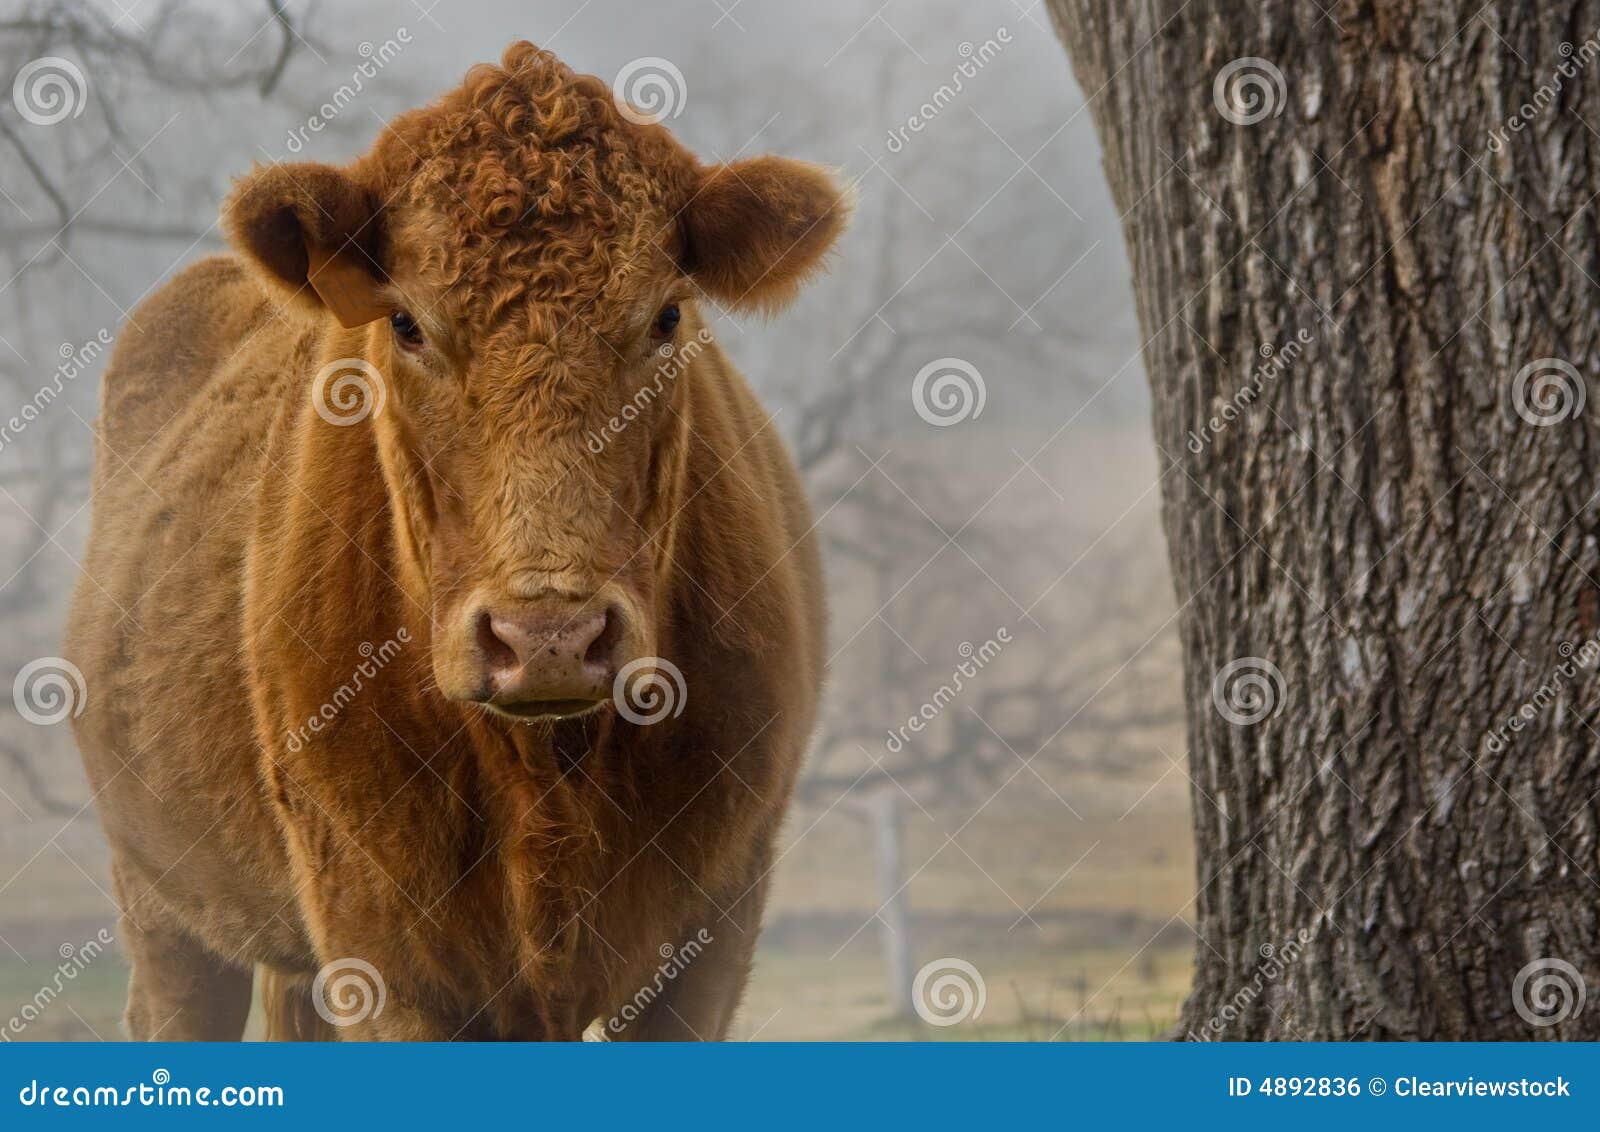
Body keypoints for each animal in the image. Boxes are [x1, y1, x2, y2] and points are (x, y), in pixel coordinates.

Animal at [63, 41, 847, 1041]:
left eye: (668, 317)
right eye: (407, 322)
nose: (548, 637)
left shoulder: (710, 938)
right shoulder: (387, 956)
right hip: (166, 910)